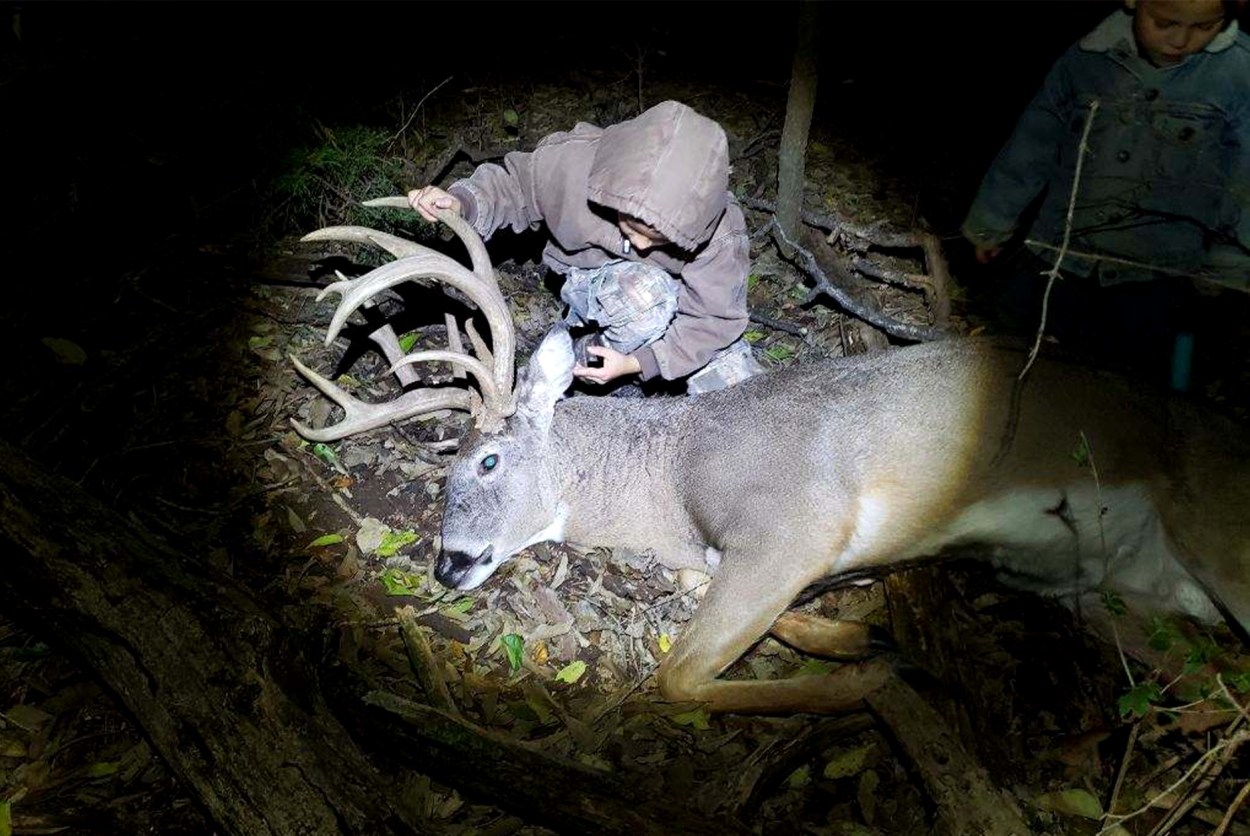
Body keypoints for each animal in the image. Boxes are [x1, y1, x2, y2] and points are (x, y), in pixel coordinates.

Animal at [291, 199, 1250, 715]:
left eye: (484, 464)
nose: (449, 565)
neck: (674, 477)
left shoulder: (797, 518)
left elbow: (679, 674)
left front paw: (865, 675)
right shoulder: (738, 555)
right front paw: (866, 632)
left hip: (1216, 535)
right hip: (1099, 595)